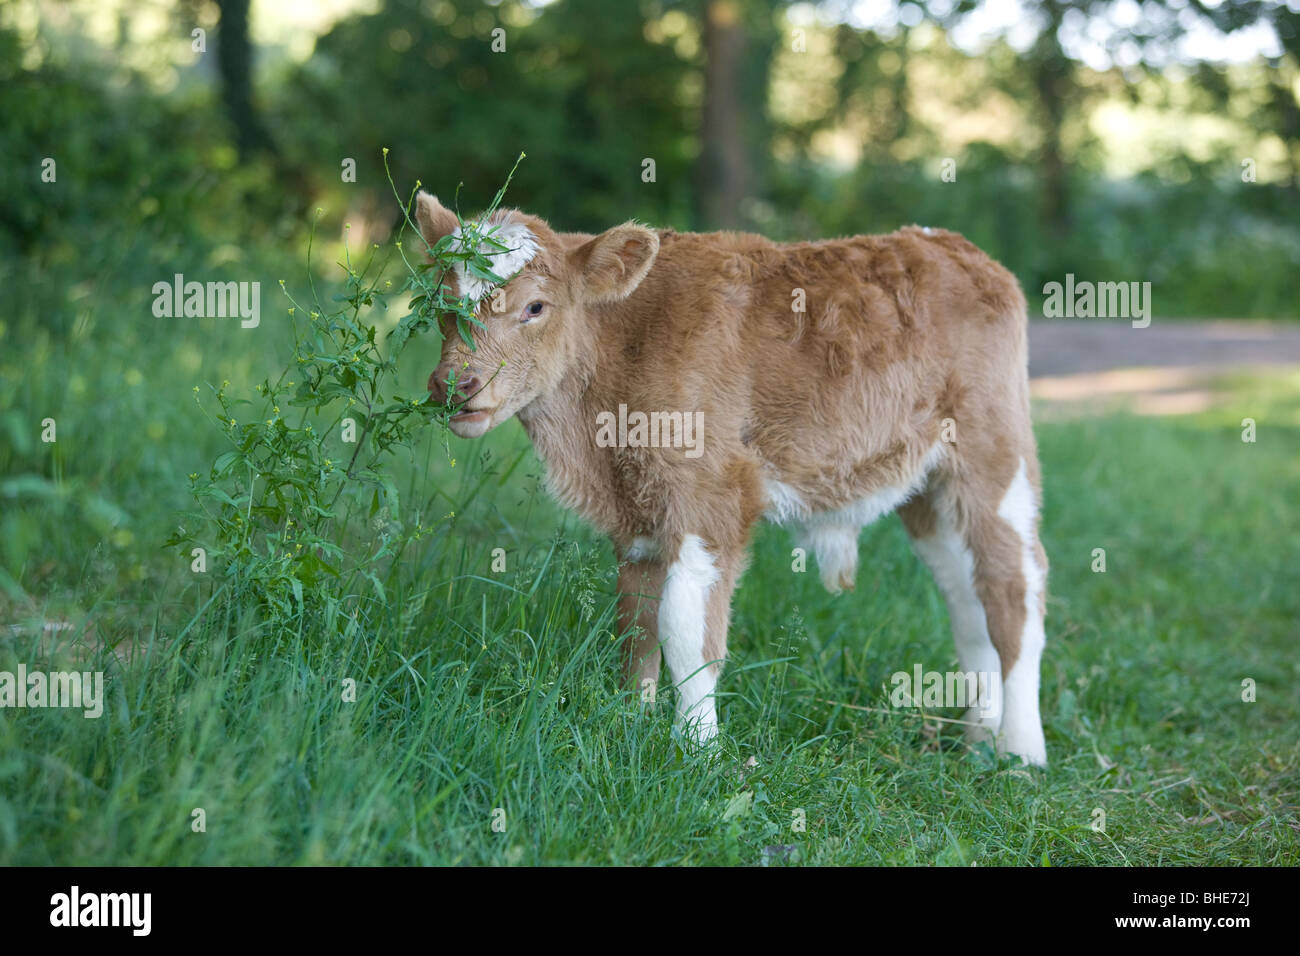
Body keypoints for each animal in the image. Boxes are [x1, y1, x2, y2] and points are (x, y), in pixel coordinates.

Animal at [419, 191, 1049, 766]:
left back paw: (1021, 751)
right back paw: (979, 739)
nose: (454, 385)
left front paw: (697, 747)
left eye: (535, 307)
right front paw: (629, 723)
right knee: (966, 598)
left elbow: (684, 626)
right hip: (928, 489)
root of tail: (945, 242)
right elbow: (635, 620)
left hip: (993, 455)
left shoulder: (711, 492)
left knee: (1013, 588)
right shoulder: (638, 512)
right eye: (442, 304)